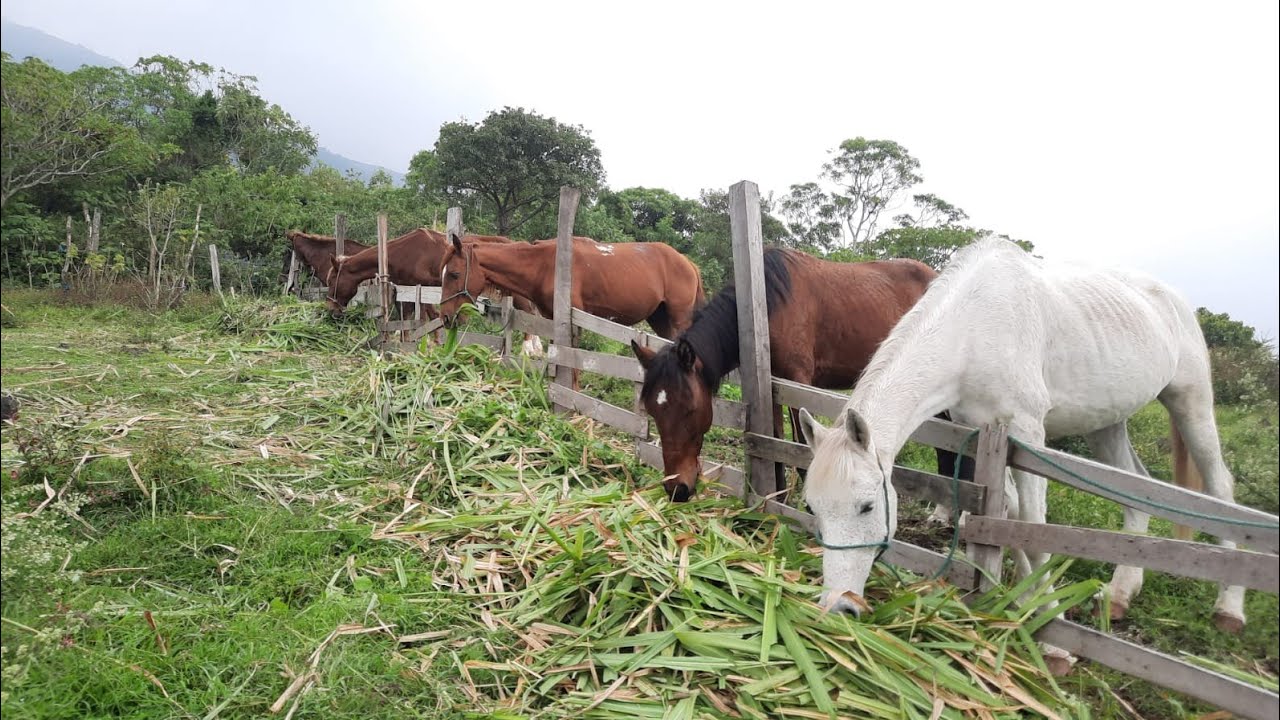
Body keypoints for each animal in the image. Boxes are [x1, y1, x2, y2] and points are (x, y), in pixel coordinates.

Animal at [629, 247, 970, 502]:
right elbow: (777, 446)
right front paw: (777, 500)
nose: (677, 489)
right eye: (653, 412)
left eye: (689, 410)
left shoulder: (798, 382)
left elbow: (800, 451)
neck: (768, 304)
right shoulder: (773, 386)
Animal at [798, 237, 1244, 675]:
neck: (974, 330)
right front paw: (1025, 607)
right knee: (1136, 489)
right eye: (813, 508)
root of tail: (1176, 301)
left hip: (1191, 401)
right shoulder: (986, 433)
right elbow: (1009, 519)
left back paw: (1229, 607)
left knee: (1220, 486)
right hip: (1106, 422)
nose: (838, 607)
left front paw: (1055, 643)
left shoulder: (1028, 432)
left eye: (867, 506)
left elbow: (1032, 528)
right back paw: (1119, 594)